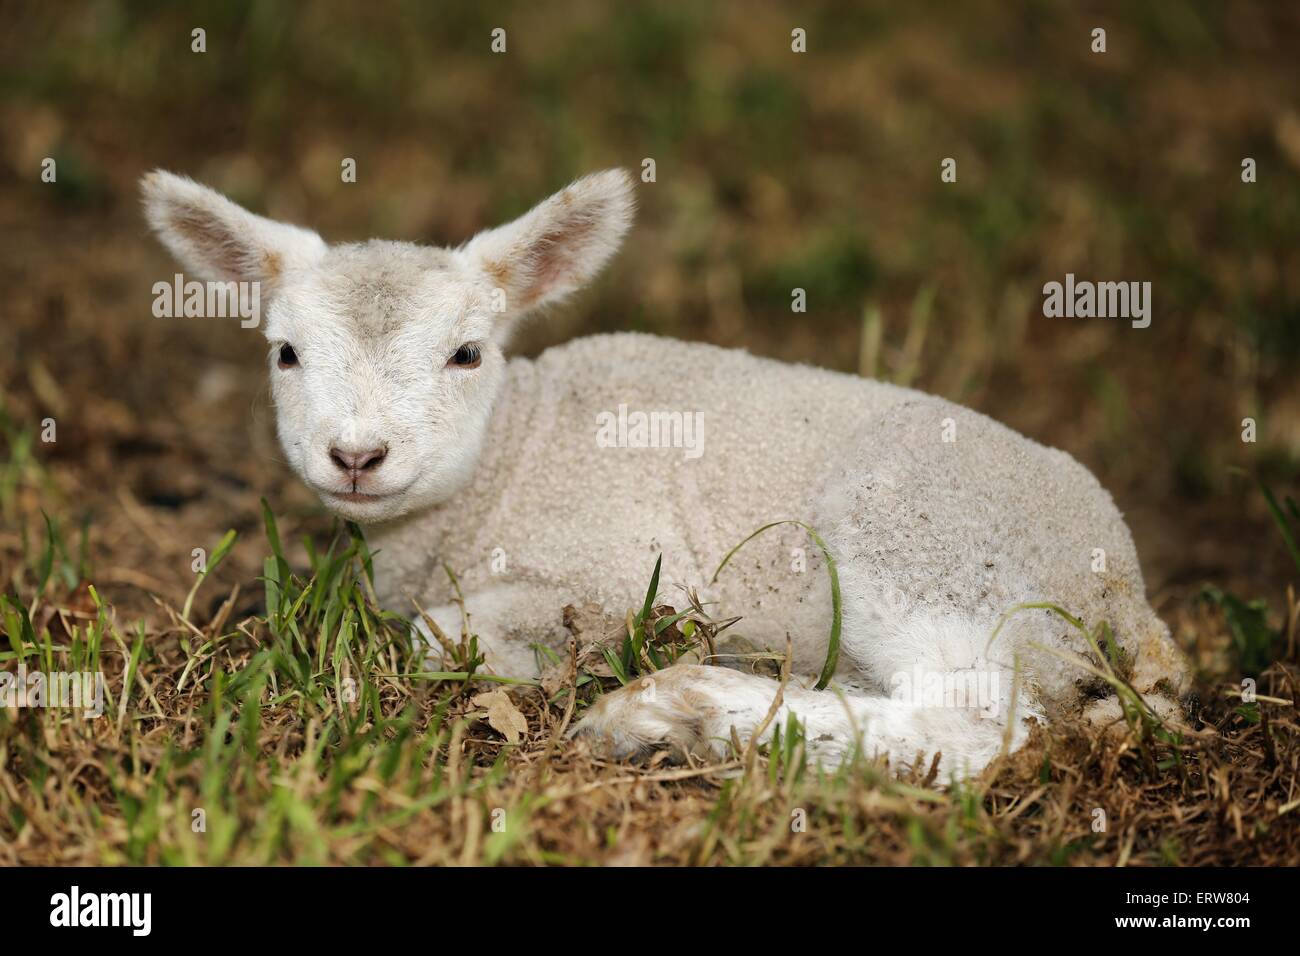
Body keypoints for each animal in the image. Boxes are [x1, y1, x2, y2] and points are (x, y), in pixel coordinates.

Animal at [142, 168, 1188, 779]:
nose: (357, 457)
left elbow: (444, 637)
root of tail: (1130, 598)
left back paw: (672, 712)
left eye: (467, 354)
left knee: (985, 726)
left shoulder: (617, 572)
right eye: (284, 354)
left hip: (931, 544)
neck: (511, 462)